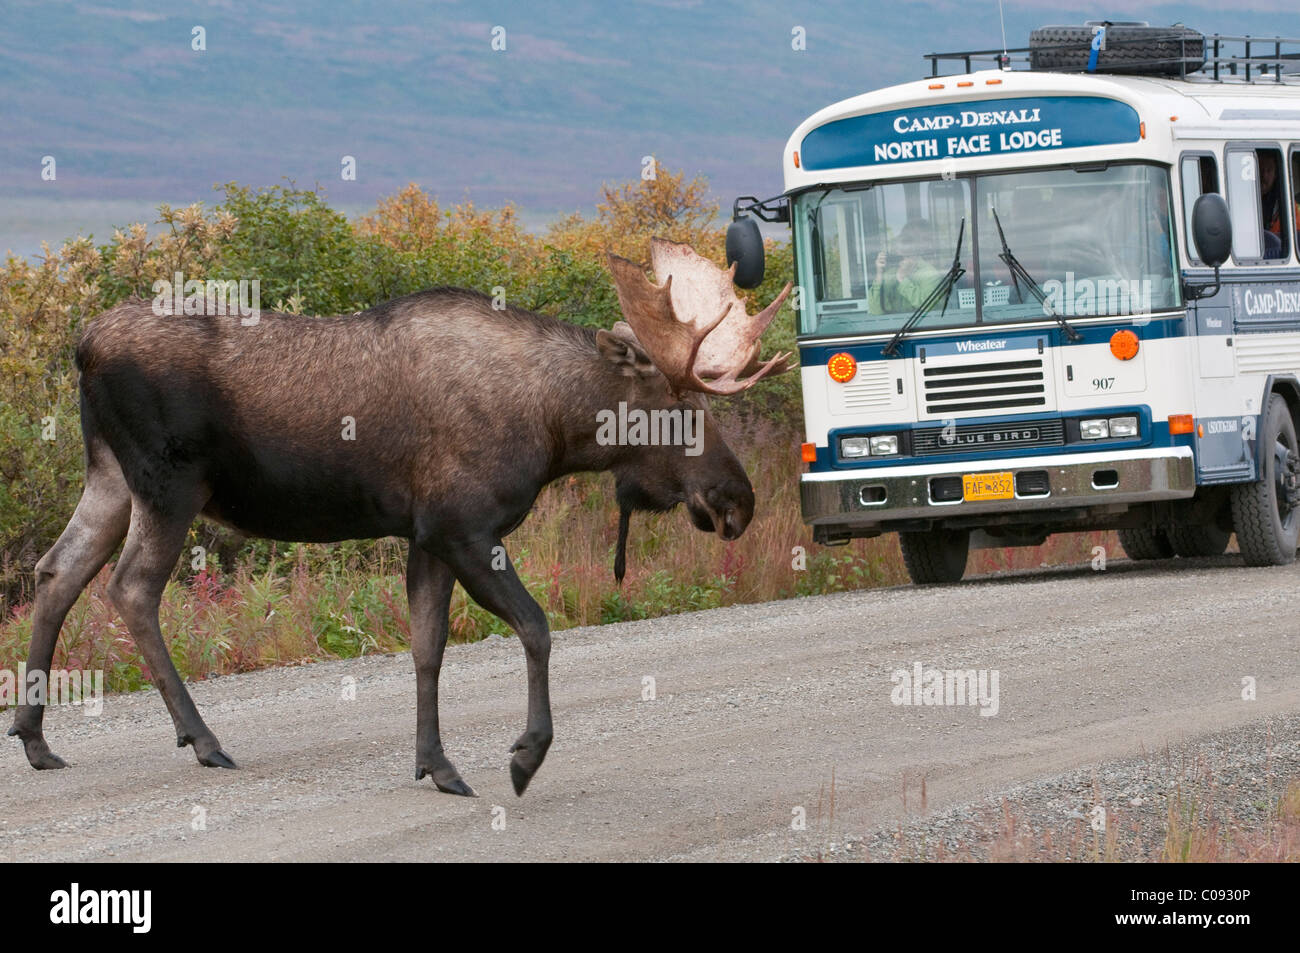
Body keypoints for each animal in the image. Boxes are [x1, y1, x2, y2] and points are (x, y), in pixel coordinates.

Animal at [10, 238, 792, 797]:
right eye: (680, 407)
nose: (738, 499)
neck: (554, 428)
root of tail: (82, 345)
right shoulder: (462, 526)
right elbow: (537, 628)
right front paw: (524, 755)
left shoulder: (427, 537)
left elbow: (427, 647)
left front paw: (436, 764)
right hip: (169, 481)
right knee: (130, 588)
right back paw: (202, 739)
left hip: (111, 476)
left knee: (57, 570)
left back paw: (36, 737)